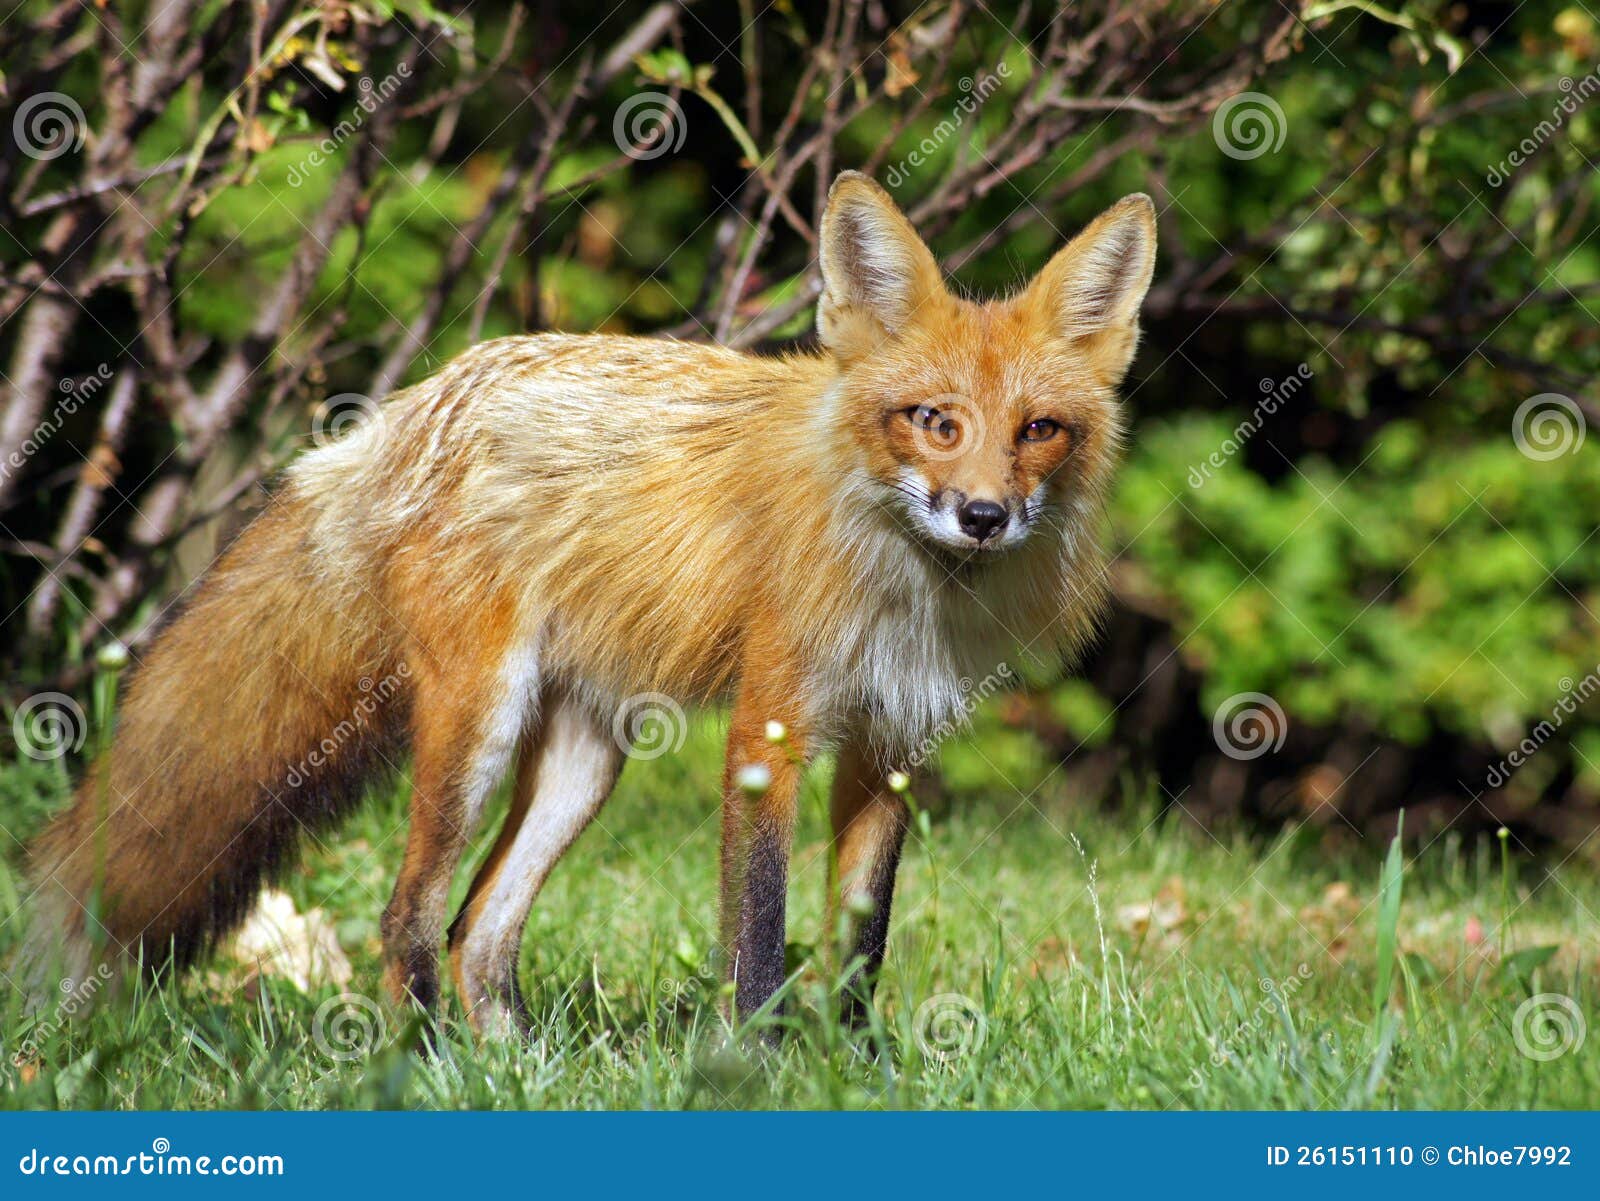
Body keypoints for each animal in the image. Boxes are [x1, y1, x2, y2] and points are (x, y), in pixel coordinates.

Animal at [23, 172, 1156, 1038]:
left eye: (1039, 430)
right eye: (934, 421)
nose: (983, 516)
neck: (904, 585)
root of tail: (410, 408)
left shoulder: (890, 747)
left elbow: (860, 943)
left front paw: (856, 1066)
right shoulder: (771, 730)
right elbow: (757, 934)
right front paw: (759, 1068)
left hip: (585, 759)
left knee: (477, 930)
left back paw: (512, 1070)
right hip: (477, 731)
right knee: (408, 916)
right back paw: (423, 1070)